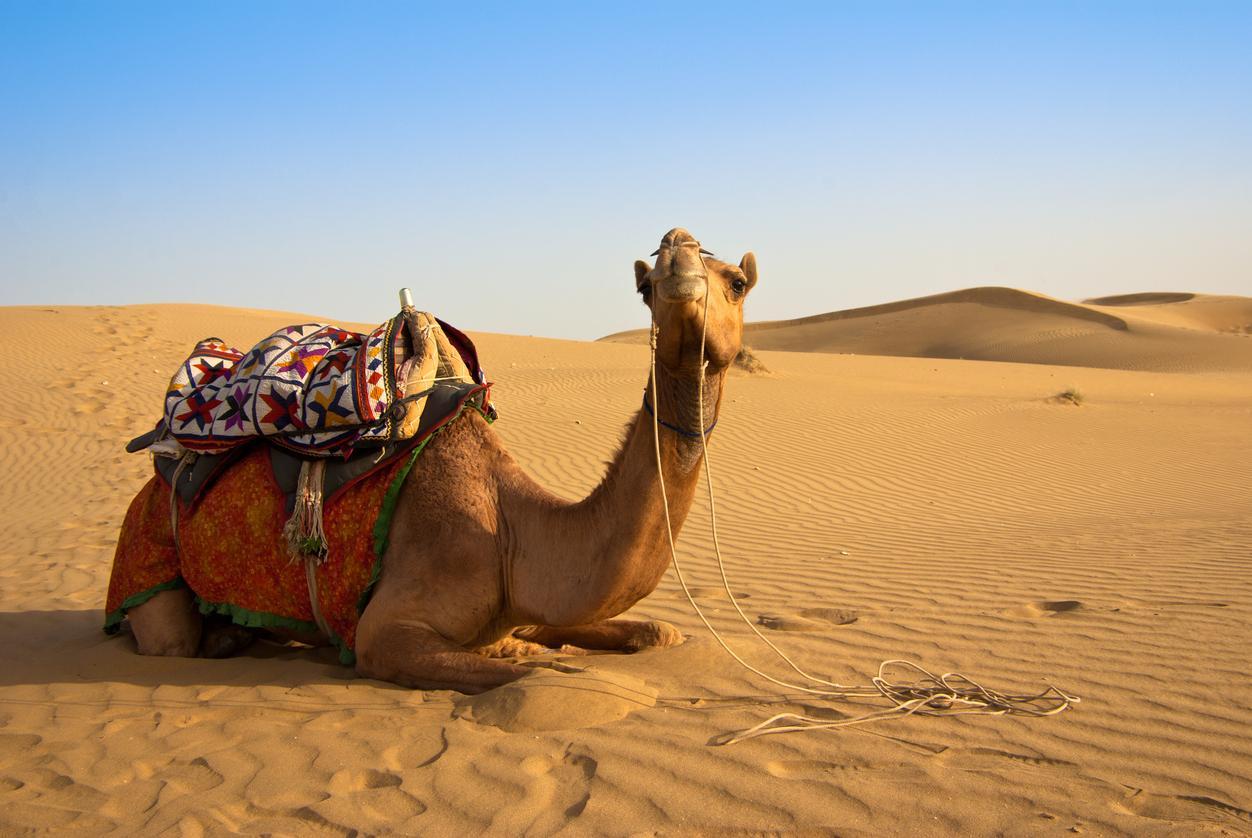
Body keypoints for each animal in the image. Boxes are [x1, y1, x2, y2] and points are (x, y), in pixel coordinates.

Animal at [123, 228, 758, 693]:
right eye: (646, 287)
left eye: (737, 282)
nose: (677, 246)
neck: (513, 534)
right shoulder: (388, 629)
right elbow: (533, 676)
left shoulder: (526, 606)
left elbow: (657, 631)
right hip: (146, 557)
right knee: (167, 639)